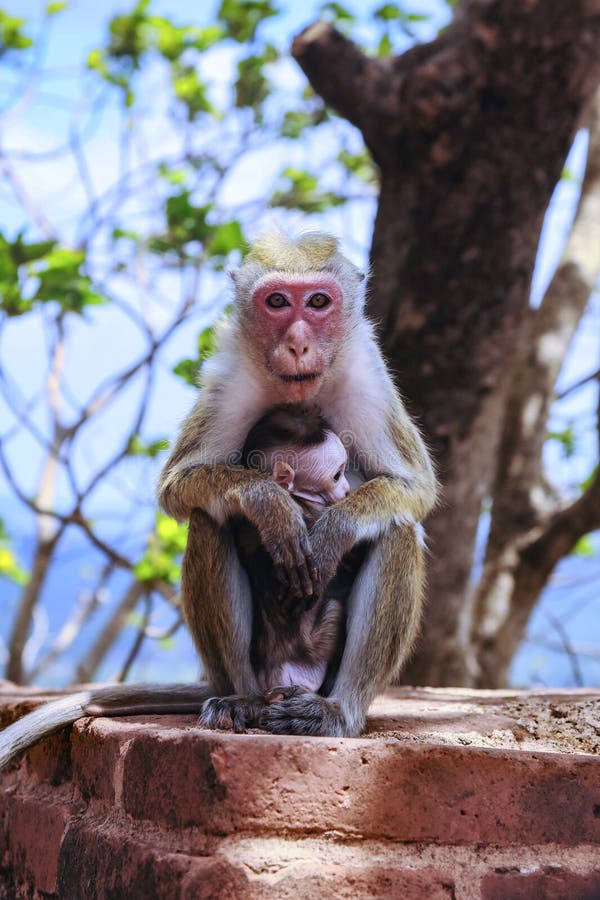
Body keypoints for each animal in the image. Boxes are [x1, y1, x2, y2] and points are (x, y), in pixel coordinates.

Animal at [0, 230, 436, 766]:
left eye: (318, 302)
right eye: (276, 302)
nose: (297, 343)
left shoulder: (368, 380)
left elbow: (413, 488)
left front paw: (335, 530)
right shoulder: (229, 381)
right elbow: (179, 486)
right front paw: (268, 504)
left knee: (397, 529)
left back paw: (337, 711)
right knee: (209, 520)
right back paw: (241, 699)